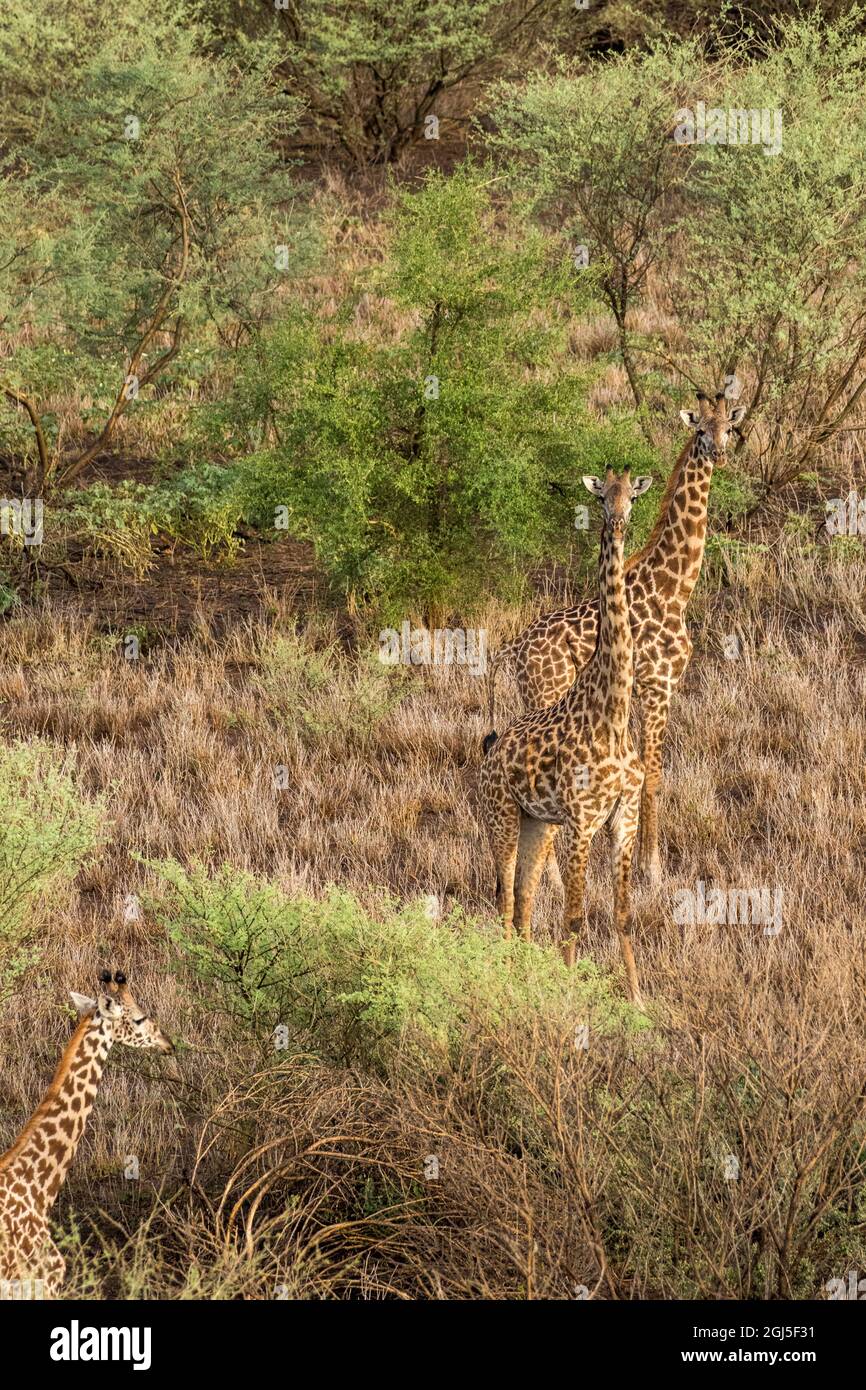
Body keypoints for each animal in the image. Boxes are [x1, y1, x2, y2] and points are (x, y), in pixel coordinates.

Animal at [479, 466, 653, 1005]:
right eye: (601, 496)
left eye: (633, 496)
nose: (617, 523)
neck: (613, 714)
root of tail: (488, 752)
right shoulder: (581, 821)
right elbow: (575, 915)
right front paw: (572, 991)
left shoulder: (623, 815)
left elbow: (623, 913)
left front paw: (637, 999)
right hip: (501, 813)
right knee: (502, 891)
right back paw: (506, 970)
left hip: (537, 821)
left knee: (523, 894)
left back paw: (522, 967)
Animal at [486, 392, 747, 887]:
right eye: (700, 429)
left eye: (729, 427)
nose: (720, 455)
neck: (675, 588)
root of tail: (514, 649)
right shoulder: (657, 685)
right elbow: (654, 775)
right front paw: (653, 868)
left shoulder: (662, 689)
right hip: (546, 692)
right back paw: (551, 879)